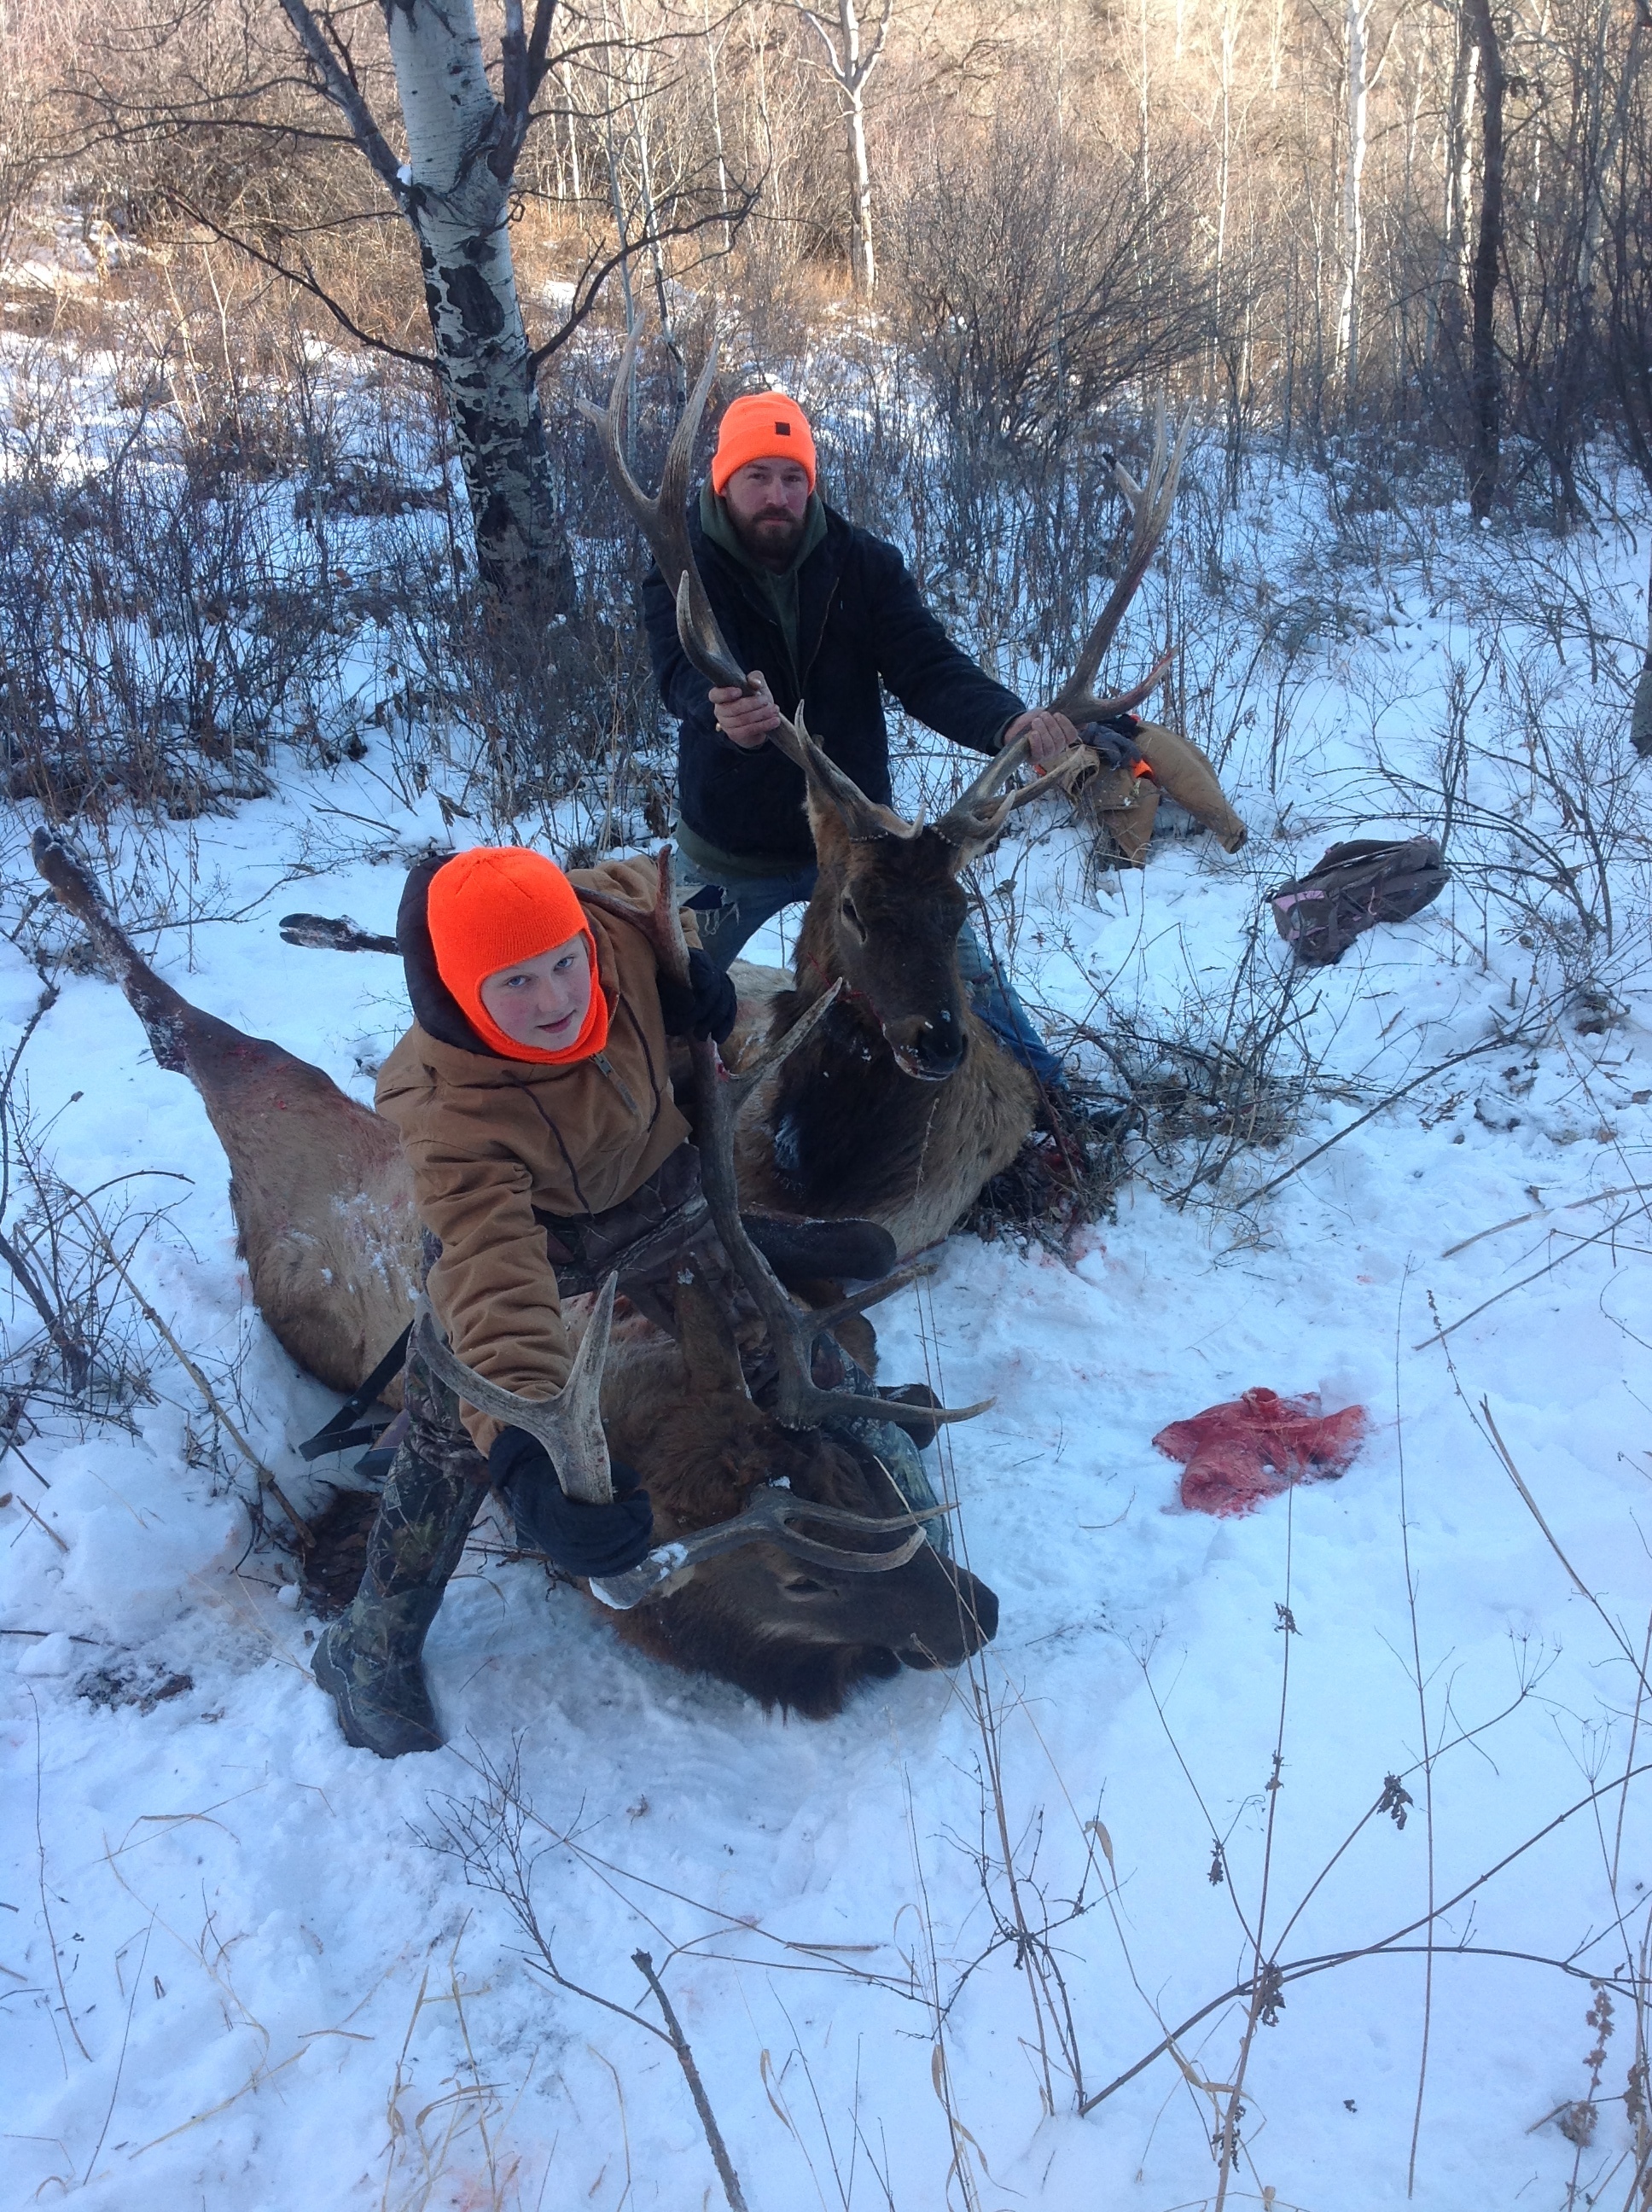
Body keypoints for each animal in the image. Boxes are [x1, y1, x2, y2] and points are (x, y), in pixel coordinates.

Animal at [30, 831, 998, 1718]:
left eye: (848, 1482)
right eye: (796, 1581)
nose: (975, 1614)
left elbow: (874, 1265)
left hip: (293, 1080)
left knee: (205, 1035)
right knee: (186, 1033)